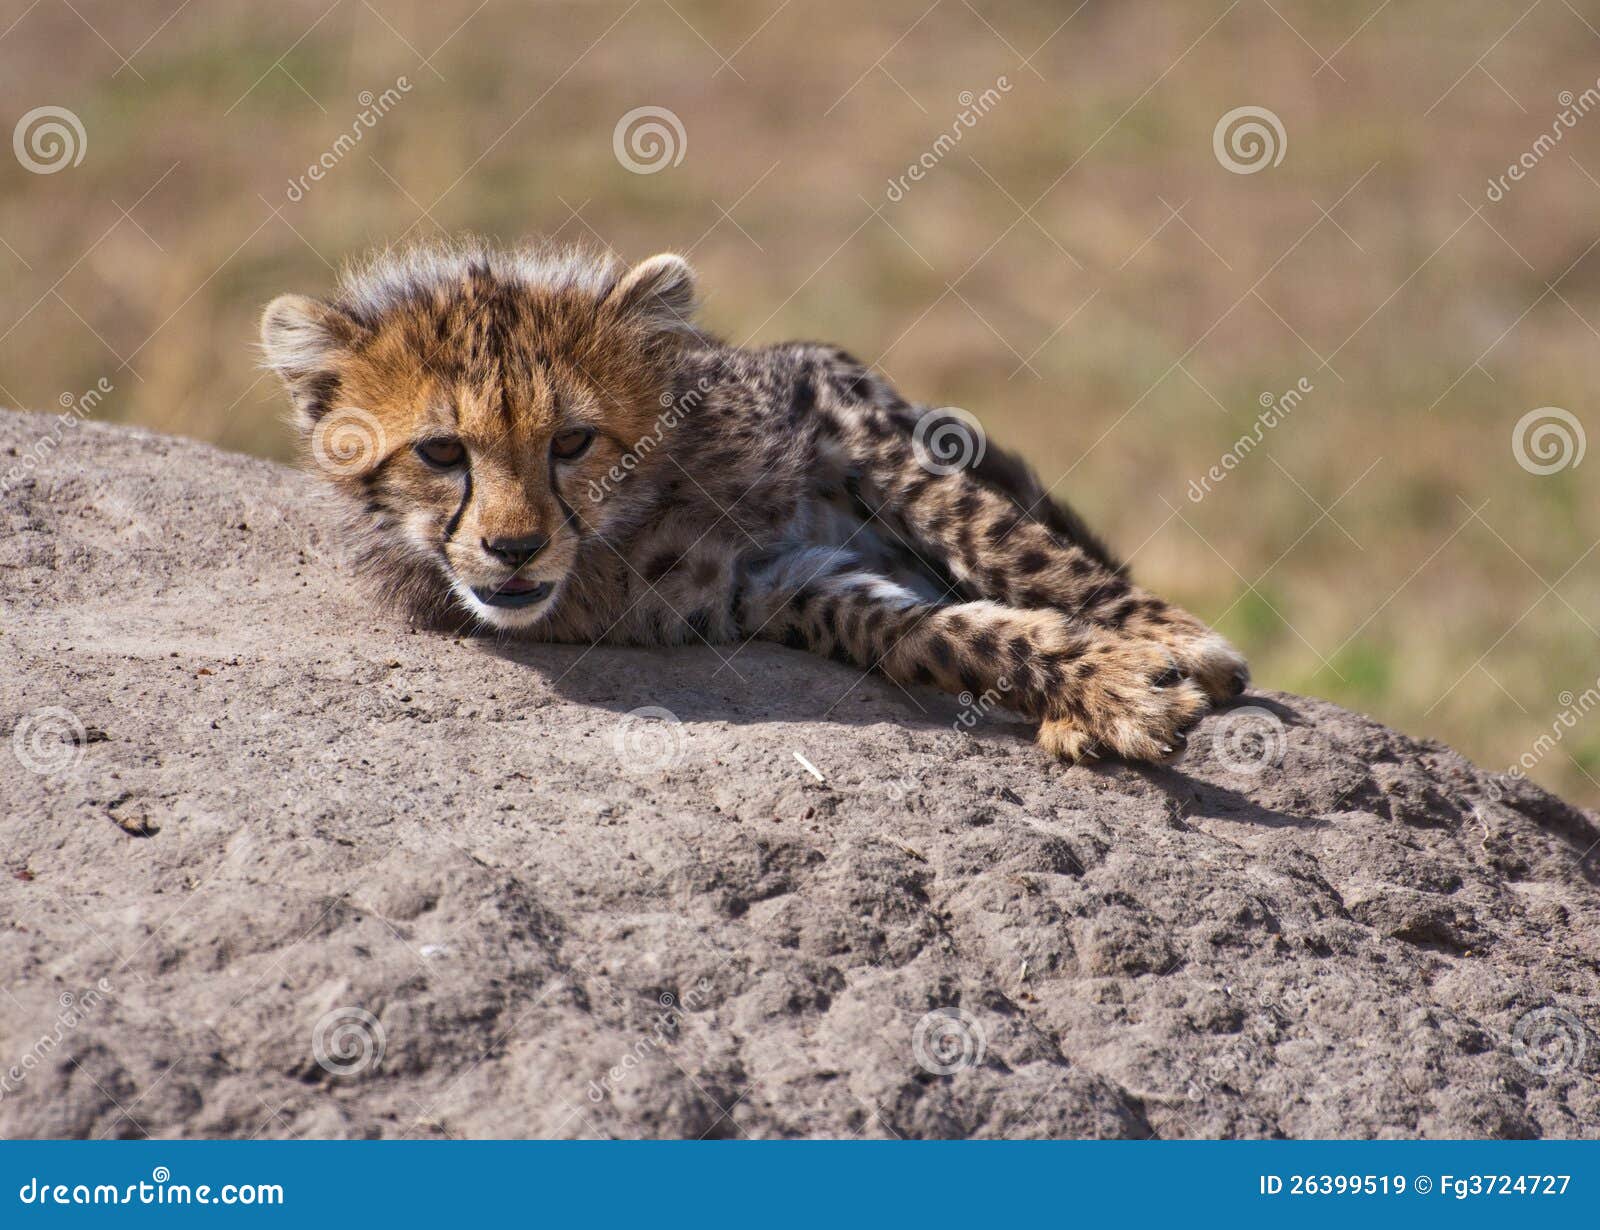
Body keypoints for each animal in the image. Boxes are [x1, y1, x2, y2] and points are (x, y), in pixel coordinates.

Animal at [260, 240, 1248, 764]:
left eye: (571, 442)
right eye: (441, 452)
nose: (514, 550)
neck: (642, 507)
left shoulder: (837, 413)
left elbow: (1002, 537)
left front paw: (1170, 642)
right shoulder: (767, 588)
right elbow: (931, 633)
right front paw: (1107, 686)